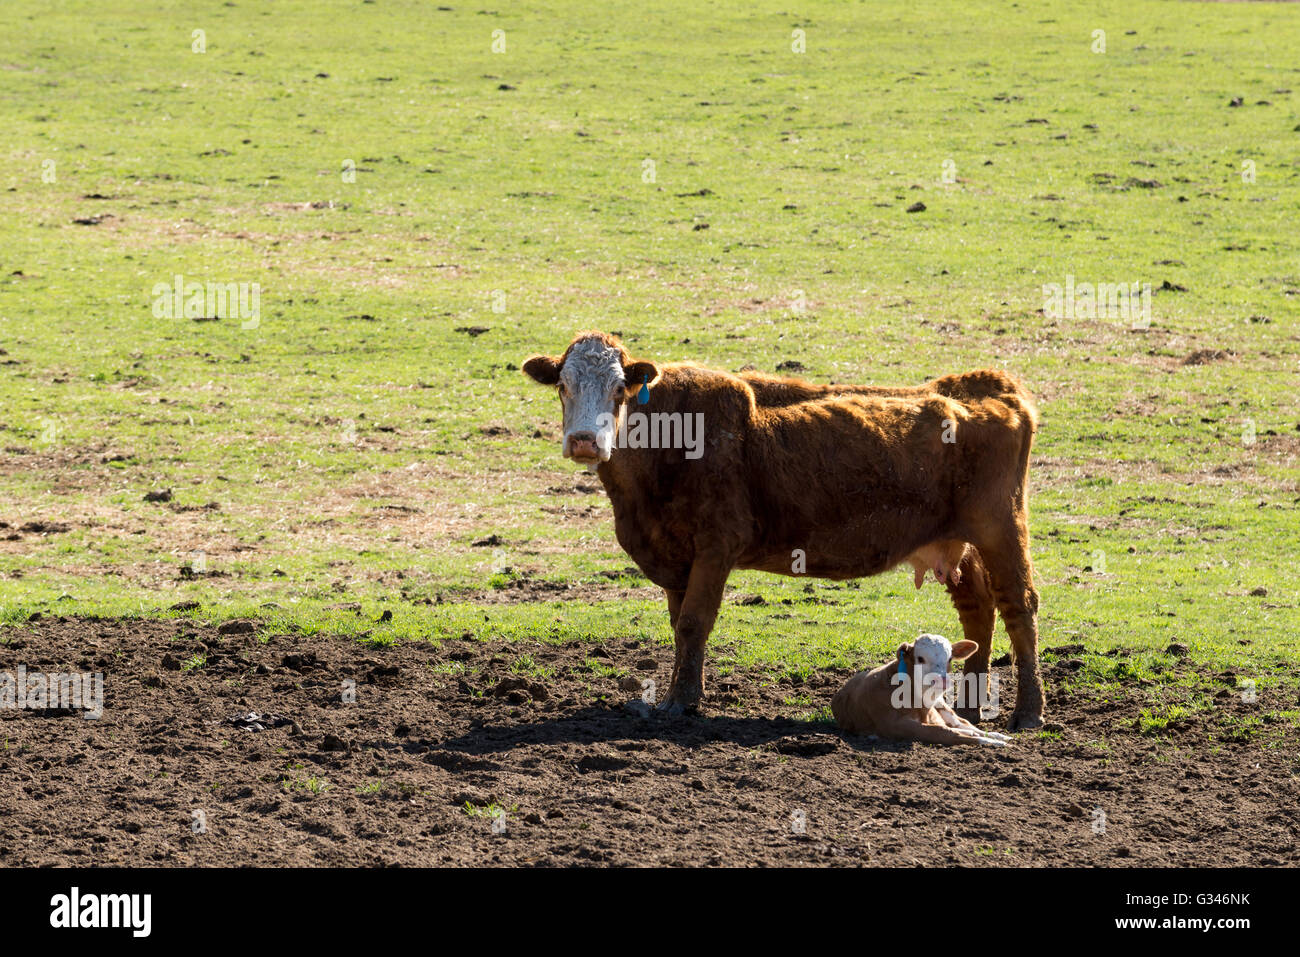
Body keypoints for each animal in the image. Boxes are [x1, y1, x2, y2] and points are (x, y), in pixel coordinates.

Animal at [522, 330, 1045, 731]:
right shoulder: (675, 557)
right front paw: (684, 693)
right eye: (563, 386)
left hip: (1001, 529)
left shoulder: (716, 546)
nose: (584, 441)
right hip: (961, 542)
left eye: (618, 390)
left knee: (1018, 608)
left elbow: (694, 622)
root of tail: (989, 387)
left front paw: (680, 702)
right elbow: (680, 625)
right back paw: (970, 706)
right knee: (978, 611)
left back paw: (1028, 713)